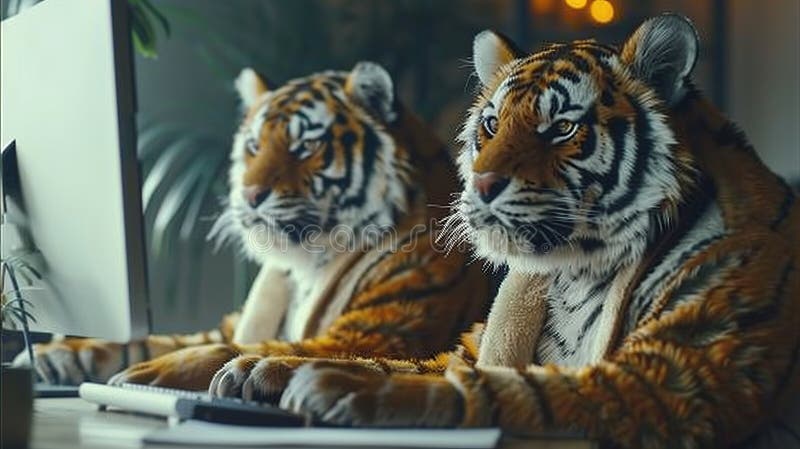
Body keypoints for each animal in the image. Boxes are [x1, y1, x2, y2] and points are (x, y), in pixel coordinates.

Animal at [15, 62, 490, 392]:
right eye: (254, 145)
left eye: (305, 146)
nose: (250, 194)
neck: (308, 266)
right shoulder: (230, 321)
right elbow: (161, 338)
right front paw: (57, 354)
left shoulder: (379, 333)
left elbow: (237, 349)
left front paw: (147, 372)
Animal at [267, 16, 800, 449]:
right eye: (491, 123)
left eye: (561, 128)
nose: (481, 184)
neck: (582, 274)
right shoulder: (469, 348)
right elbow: (397, 360)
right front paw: (266, 365)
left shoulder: (669, 377)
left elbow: (510, 389)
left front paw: (337, 385)